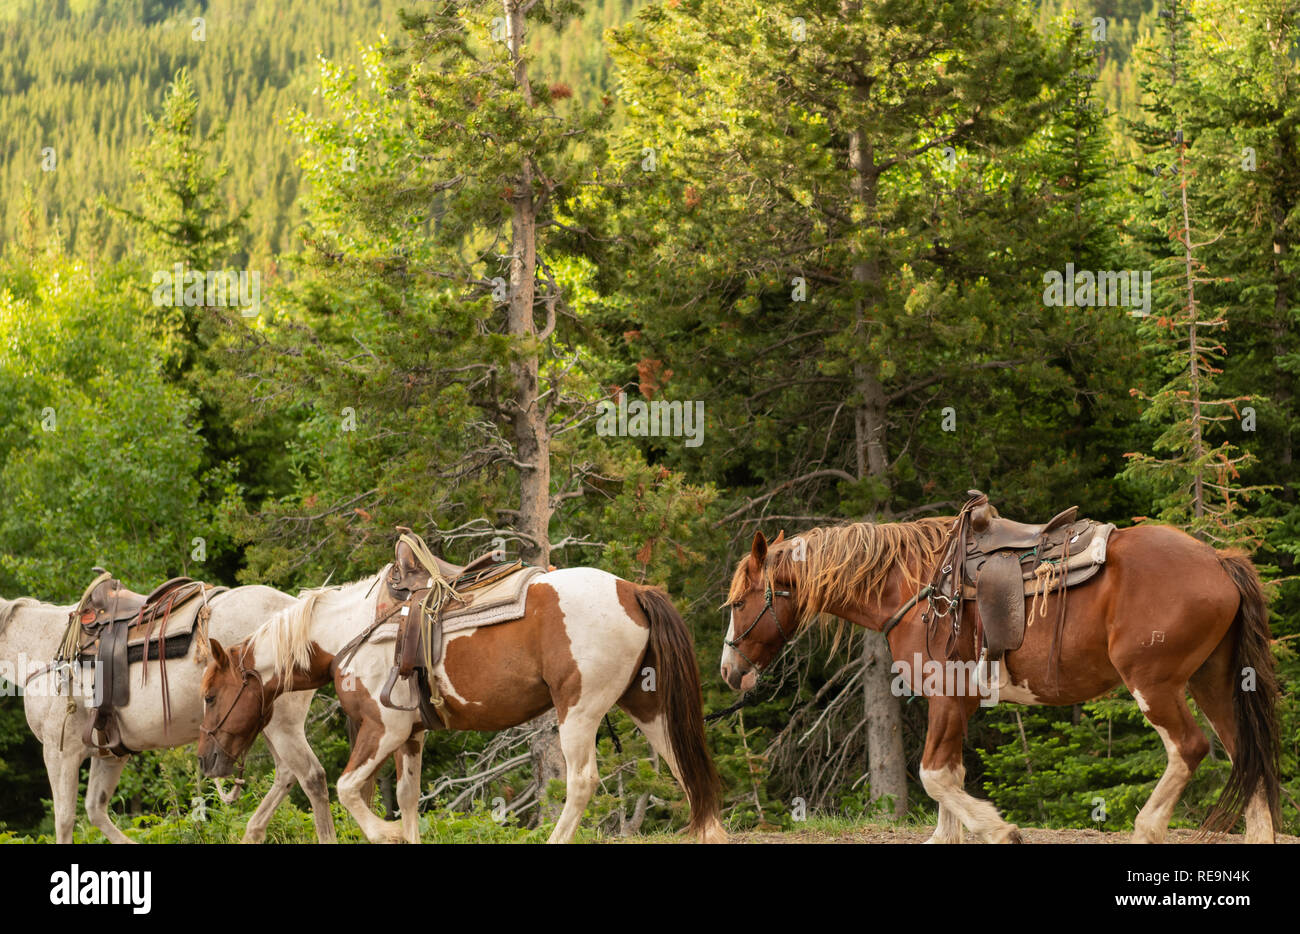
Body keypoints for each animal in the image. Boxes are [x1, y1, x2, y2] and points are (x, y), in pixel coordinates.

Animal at [1, 586, 337, 843]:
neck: (43, 647)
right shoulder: (110, 753)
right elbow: (96, 810)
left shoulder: (60, 752)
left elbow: (64, 819)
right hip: (267, 725)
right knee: (287, 775)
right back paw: (252, 832)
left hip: (283, 726)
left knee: (311, 778)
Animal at [196, 566, 727, 844]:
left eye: (209, 695)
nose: (206, 760)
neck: (347, 632)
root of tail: (633, 591)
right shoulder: (410, 736)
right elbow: (408, 799)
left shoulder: (383, 730)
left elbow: (349, 790)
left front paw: (385, 833)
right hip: (647, 704)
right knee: (684, 767)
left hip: (578, 711)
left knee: (581, 783)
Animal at [719, 521, 1281, 844]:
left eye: (740, 601)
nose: (728, 671)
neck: (915, 590)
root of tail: (1218, 561)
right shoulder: (953, 705)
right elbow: (948, 781)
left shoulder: (947, 697)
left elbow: (934, 776)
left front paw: (1000, 828)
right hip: (1213, 682)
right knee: (1244, 754)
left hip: (1154, 683)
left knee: (1190, 748)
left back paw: (1146, 829)